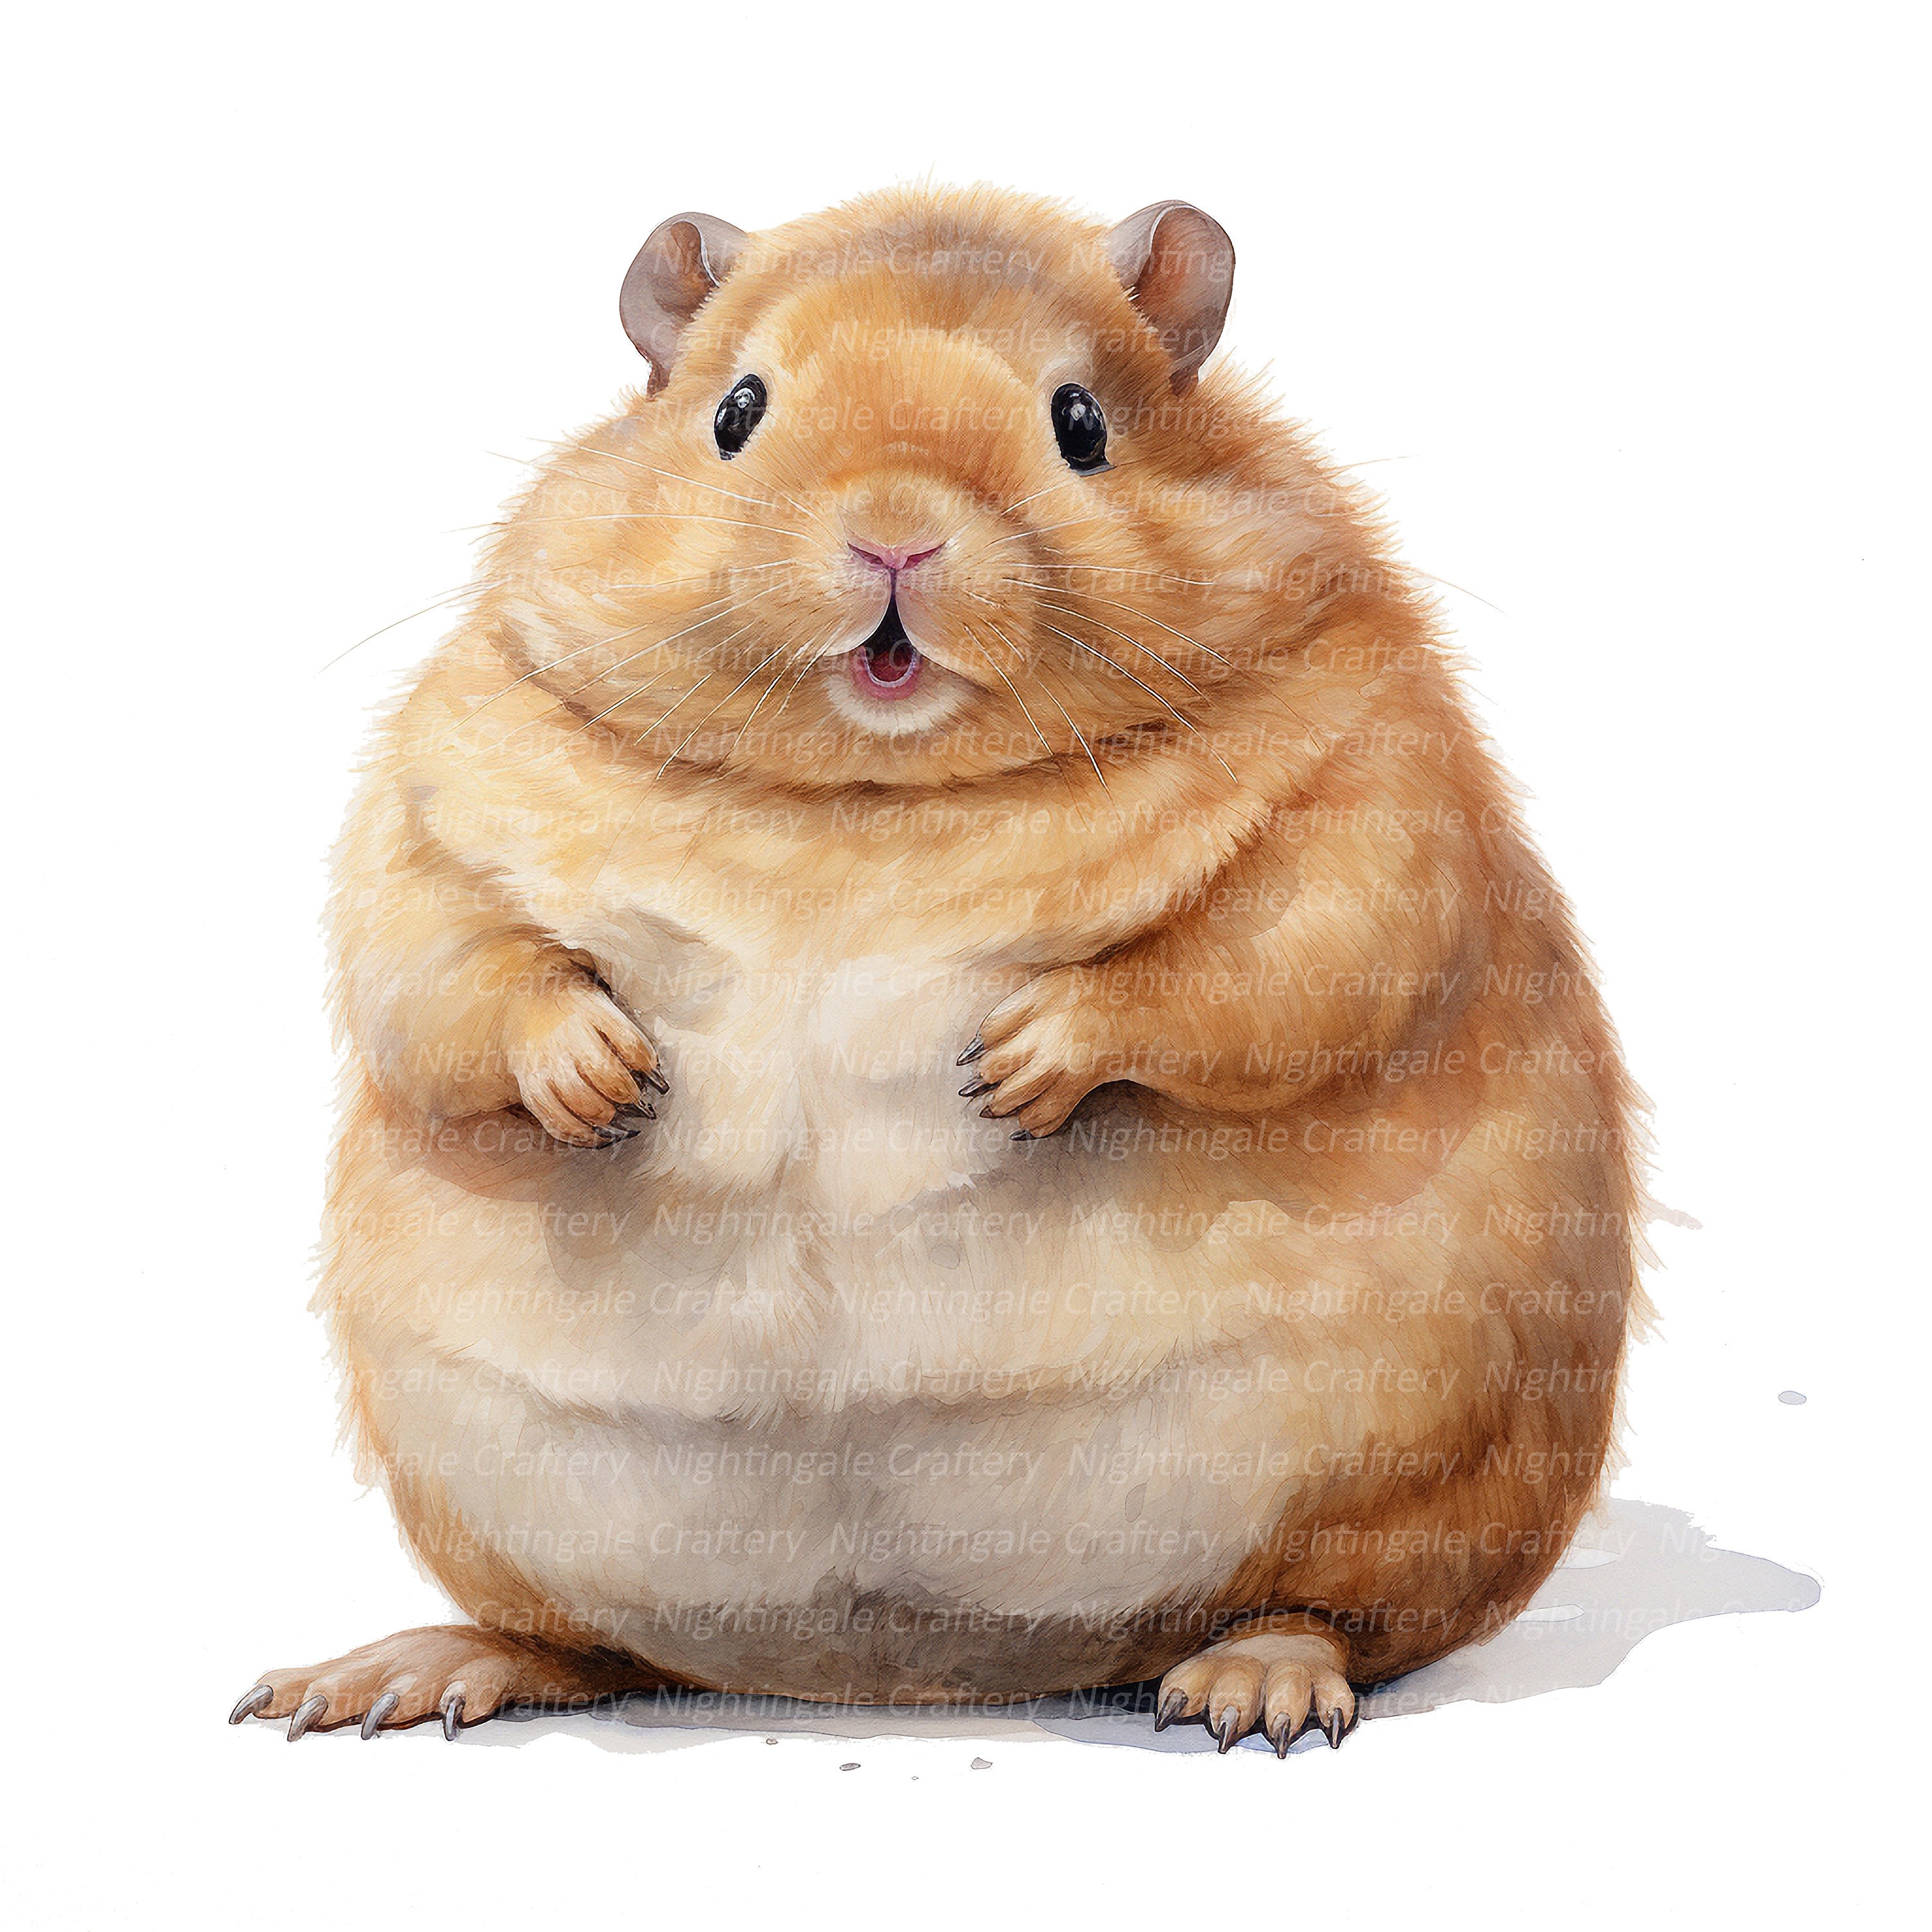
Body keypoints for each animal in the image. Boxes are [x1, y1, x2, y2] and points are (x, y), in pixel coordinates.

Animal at [233, 185, 1647, 1750]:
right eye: (736, 411)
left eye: (1080, 421)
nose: (895, 541)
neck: (873, 789)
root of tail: (903, 1675)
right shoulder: (441, 795)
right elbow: (449, 966)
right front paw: (612, 1084)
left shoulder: (1376, 808)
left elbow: (1261, 970)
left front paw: (1006, 1070)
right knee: (585, 1648)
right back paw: (384, 1678)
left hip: (1422, 1494)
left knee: (1346, 1618)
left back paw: (1250, 1691)